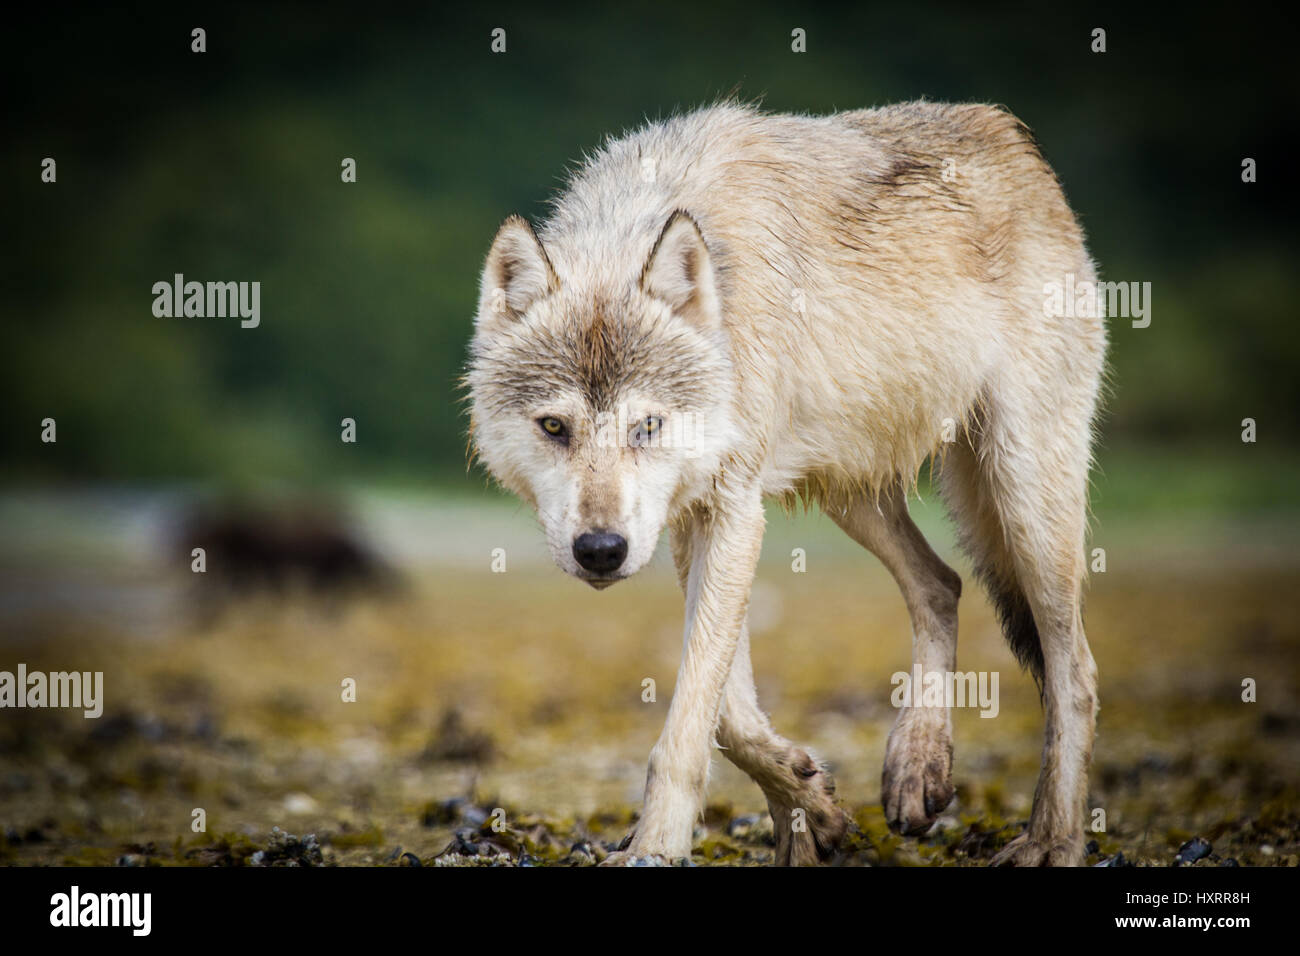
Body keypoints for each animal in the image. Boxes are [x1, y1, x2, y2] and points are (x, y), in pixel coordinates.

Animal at [465, 100, 1106, 866]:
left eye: (646, 426)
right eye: (554, 427)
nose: (600, 550)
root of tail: (1014, 138)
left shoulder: (733, 510)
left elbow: (694, 720)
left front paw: (657, 846)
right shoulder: (695, 521)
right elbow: (731, 716)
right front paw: (810, 809)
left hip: (1023, 496)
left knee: (1074, 670)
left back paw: (1053, 838)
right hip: (854, 495)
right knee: (941, 585)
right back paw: (916, 765)